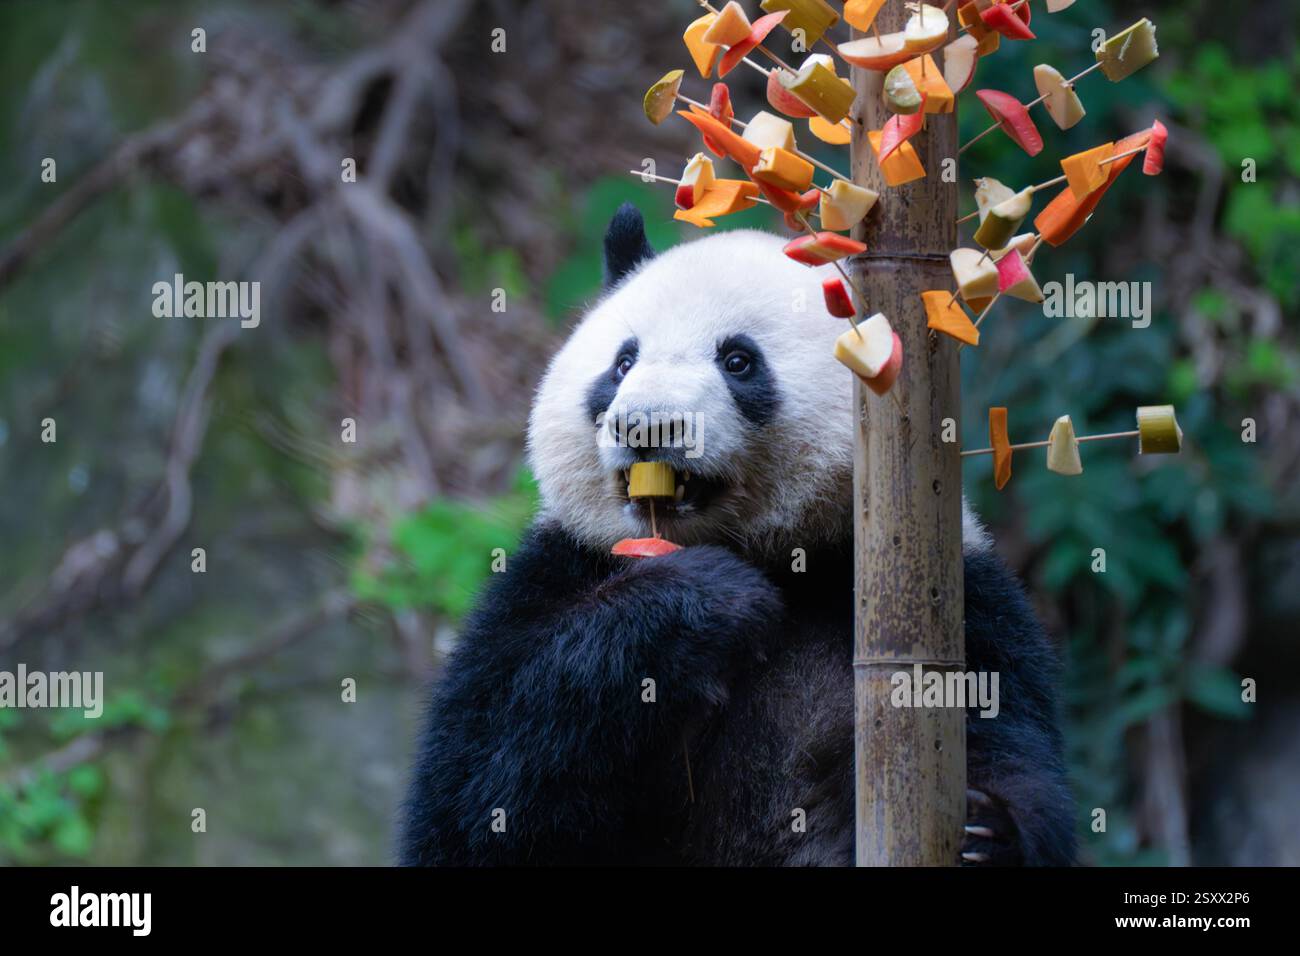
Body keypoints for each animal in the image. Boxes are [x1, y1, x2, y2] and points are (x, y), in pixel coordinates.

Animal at [398, 204, 1076, 866]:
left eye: (738, 361)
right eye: (622, 362)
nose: (647, 426)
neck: (774, 553)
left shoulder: (960, 602)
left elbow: (1010, 742)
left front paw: (986, 834)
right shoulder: (559, 569)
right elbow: (477, 794)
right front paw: (706, 605)